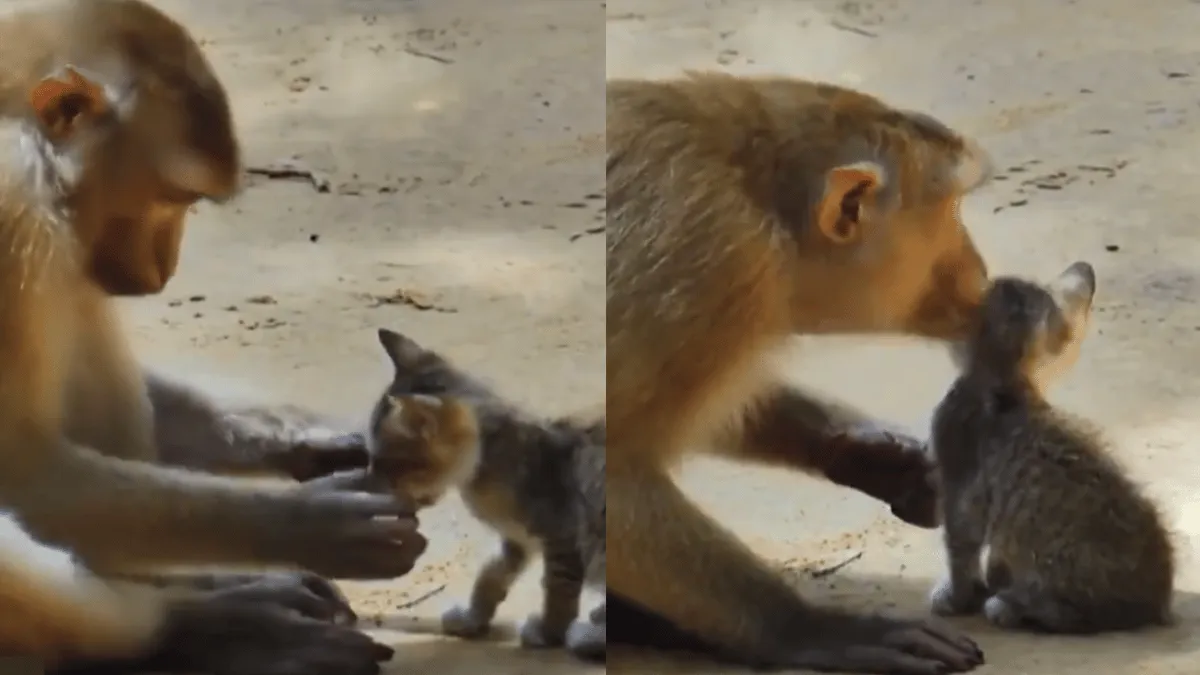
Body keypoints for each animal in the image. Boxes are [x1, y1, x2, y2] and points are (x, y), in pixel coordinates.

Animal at [0, 11, 424, 675]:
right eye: (174, 199)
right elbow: (22, 471)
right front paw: (313, 524)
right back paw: (193, 629)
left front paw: (318, 439)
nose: (165, 265)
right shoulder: (14, 211)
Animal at [361, 328, 606, 662]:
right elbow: (491, 574)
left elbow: (559, 589)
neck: (486, 465)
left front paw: (549, 631)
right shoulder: (516, 538)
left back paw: (590, 635)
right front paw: (473, 616)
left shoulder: (563, 532)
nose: (370, 479)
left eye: (385, 464)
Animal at [606, 71, 997, 673]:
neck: (756, 197)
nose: (980, 267)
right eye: (949, 210)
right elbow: (611, 465)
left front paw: (874, 453)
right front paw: (810, 628)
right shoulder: (711, 266)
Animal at [928, 261, 1175, 634]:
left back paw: (1012, 605)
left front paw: (958, 598)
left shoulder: (959, 482)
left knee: (1079, 615)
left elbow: (960, 547)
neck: (1008, 382)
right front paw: (991, 578)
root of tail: (1159, 598)